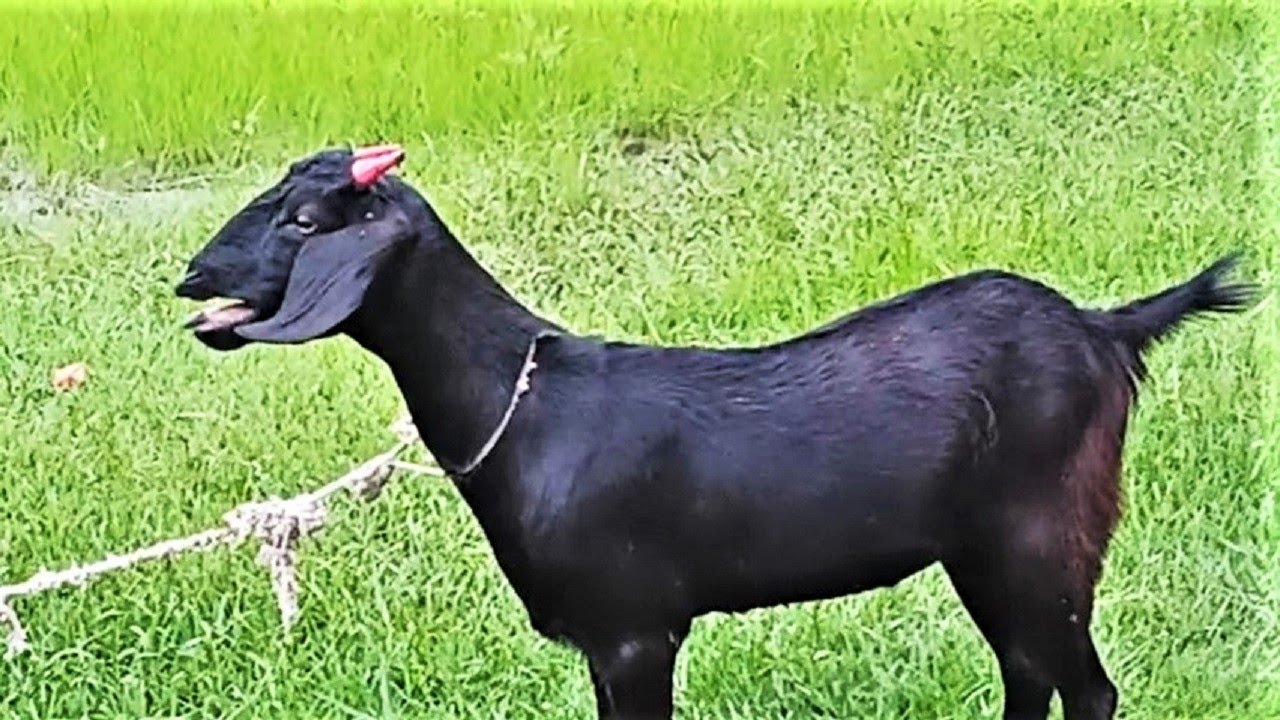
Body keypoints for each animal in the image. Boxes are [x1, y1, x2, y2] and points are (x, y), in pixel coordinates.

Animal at [175, 145, 1254, 720]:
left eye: (305, 220)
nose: (191, 279)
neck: (523, 407)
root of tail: (1103, 329)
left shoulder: (633, 630)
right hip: (986, 552)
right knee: (1031, 675)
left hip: (1042, 532)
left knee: (1085, 687)